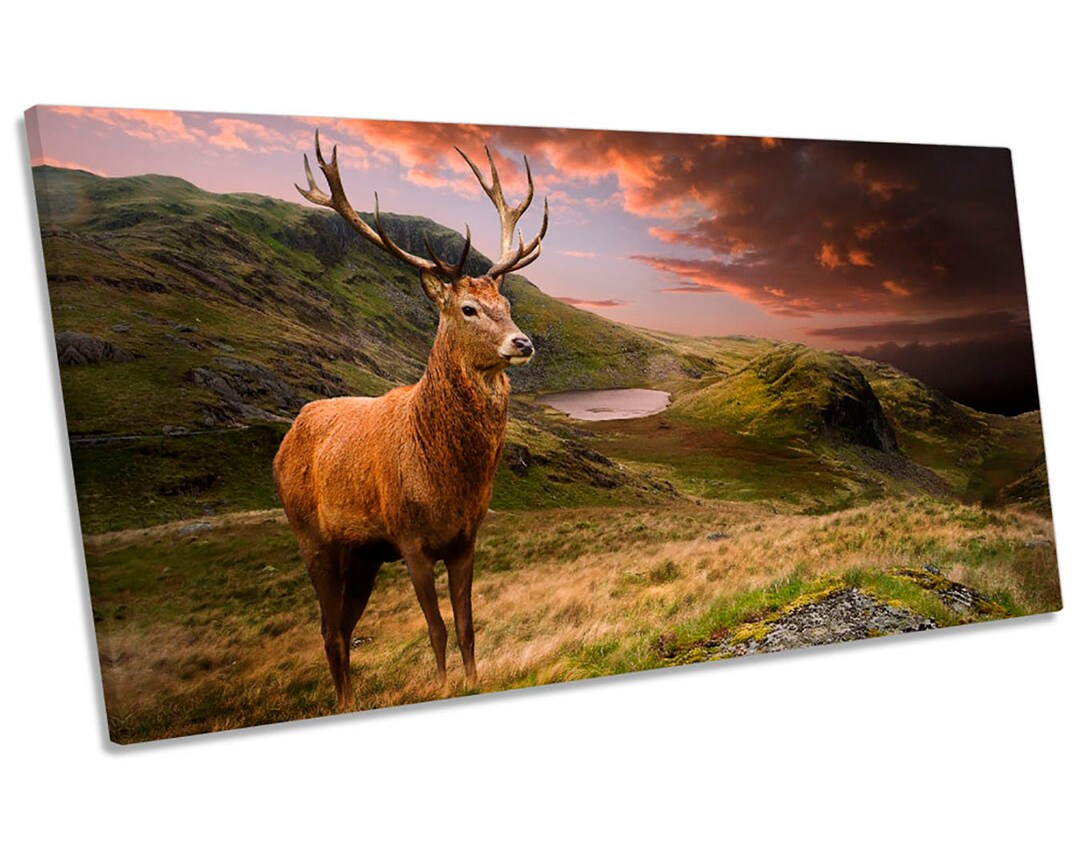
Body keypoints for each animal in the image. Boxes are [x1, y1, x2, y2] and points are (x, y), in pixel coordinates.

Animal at [273, 132, 547, 710]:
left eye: (506, 301)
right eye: (467, 308)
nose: (523, 343)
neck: (445, 479)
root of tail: (287, 437)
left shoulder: (465, 539)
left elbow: (466, 625)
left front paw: (472, 681)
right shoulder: (410, 540)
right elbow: (436, 628)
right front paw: (442, 687)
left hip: (362, 558)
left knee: (344, 627)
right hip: (313, 538)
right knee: (329, 629)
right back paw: (344, 702)